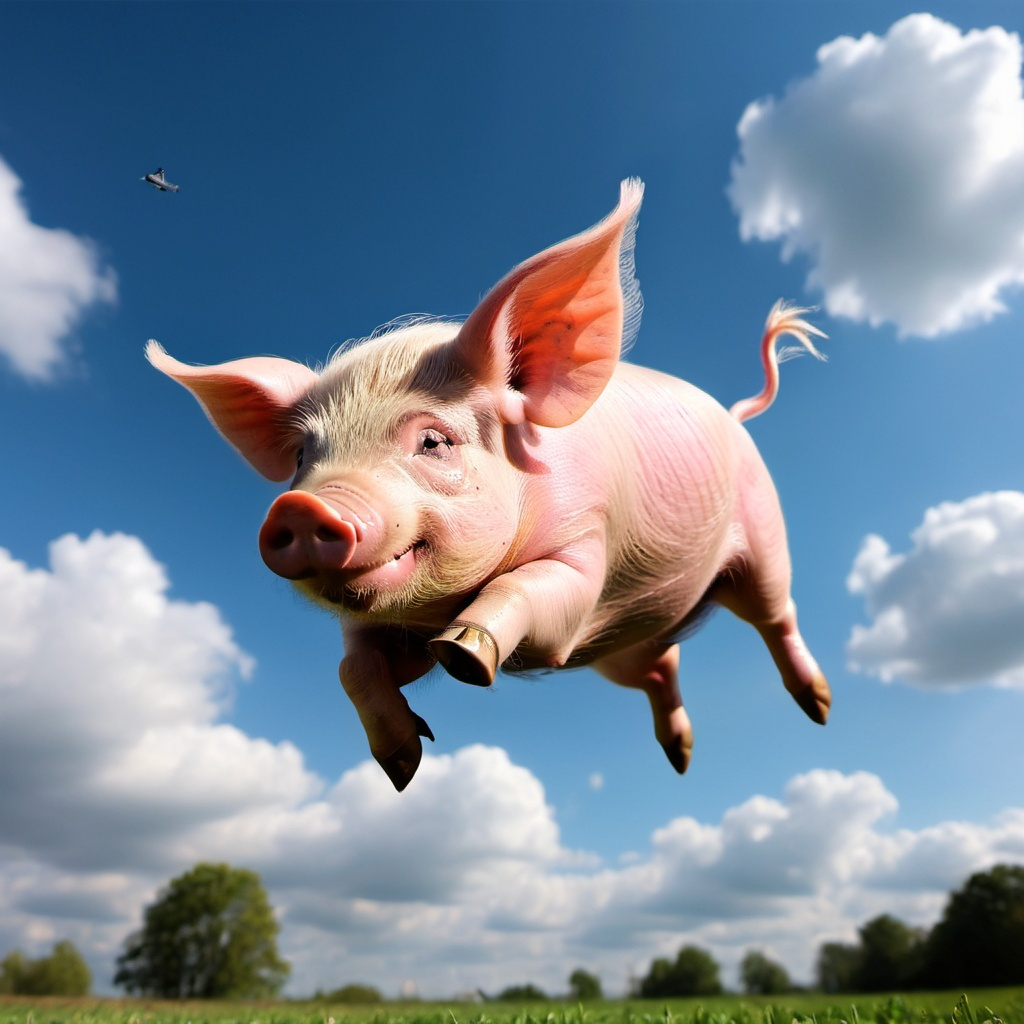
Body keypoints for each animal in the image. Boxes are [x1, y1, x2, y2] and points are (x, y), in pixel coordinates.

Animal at [147, 179, 831, 791]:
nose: (298, 505)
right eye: (301, 456)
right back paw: (680, 757)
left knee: (780, 615)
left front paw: (468, 660)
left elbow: (527, 588)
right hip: (625, 649)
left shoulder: (585, 555)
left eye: (433, 441)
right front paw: (402, 767)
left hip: (763, 540)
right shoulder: (385, 629)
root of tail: (734, 415)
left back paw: (817, 706)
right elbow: (352, 666)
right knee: (662, 666)